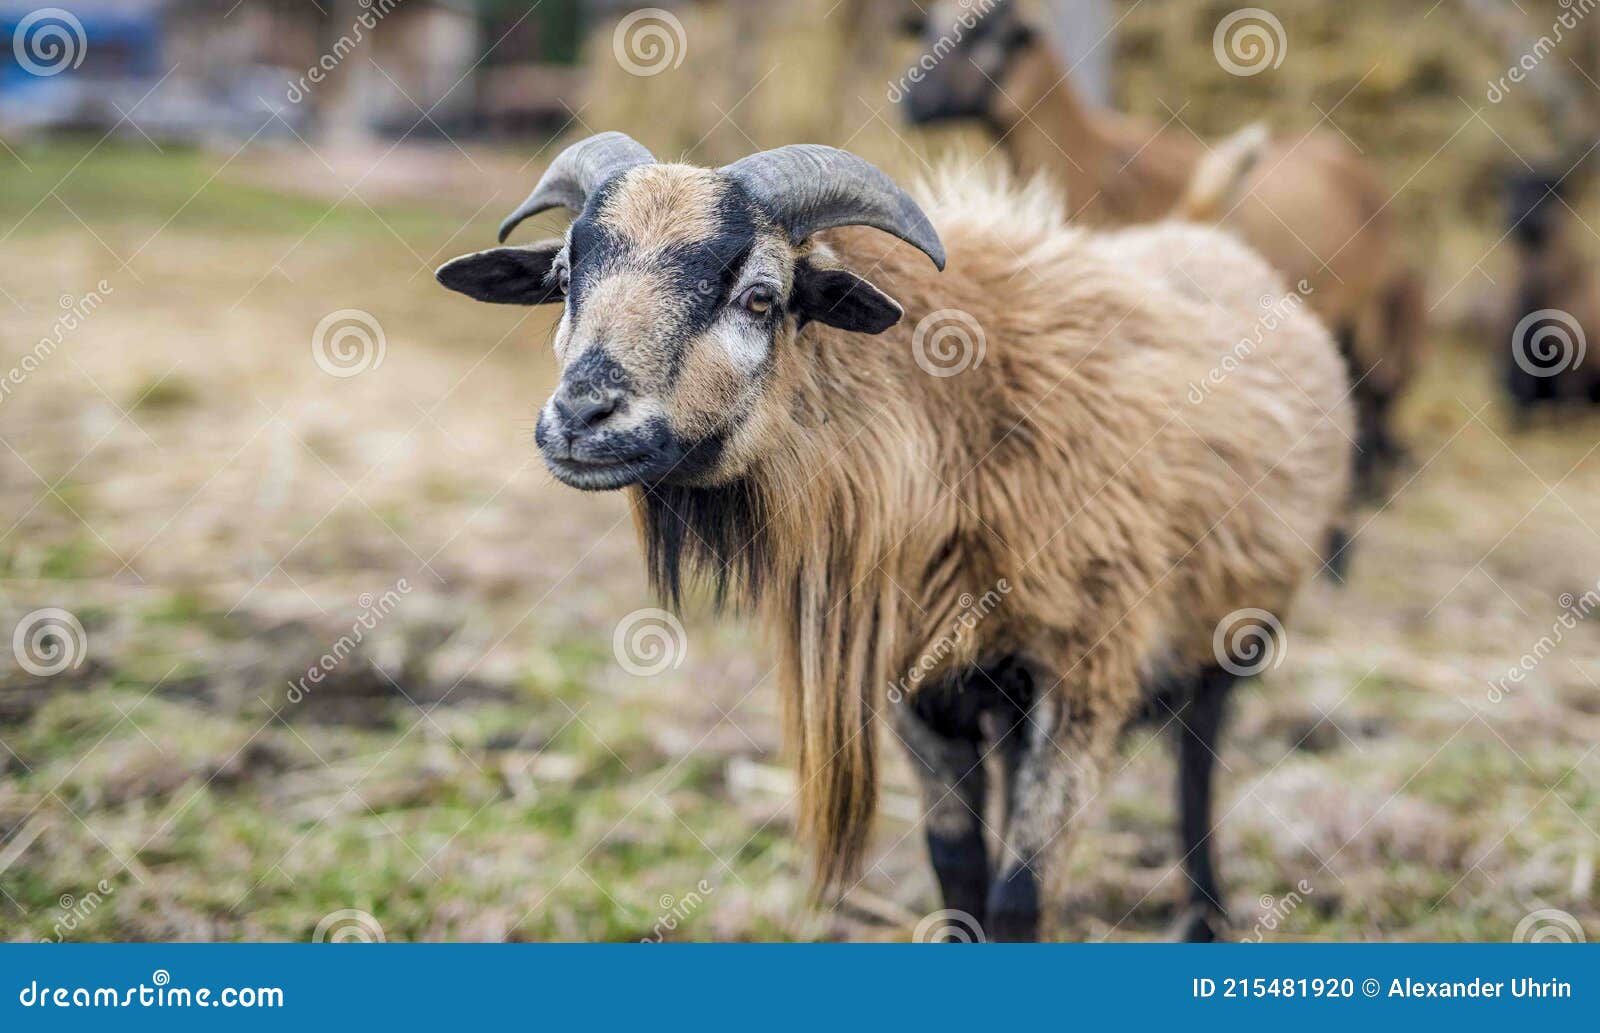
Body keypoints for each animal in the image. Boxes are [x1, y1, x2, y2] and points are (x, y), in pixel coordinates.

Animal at [436, 132, 1353, 941]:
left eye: (760, 296)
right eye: (564, 277)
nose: (582, 416)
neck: (958, 420)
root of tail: (1205, 231)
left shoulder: (1089, 673)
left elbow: (1019, 897)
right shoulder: (919, 682)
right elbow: (960, 874)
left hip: (1232, 635)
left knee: (1198, 769)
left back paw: (1206, 920)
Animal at [899, 0, 1421, 499]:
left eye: (987, 36)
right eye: (928, 31)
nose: (910, 103)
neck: (1093, 161)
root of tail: (1349, 158)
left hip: (1374, 319)